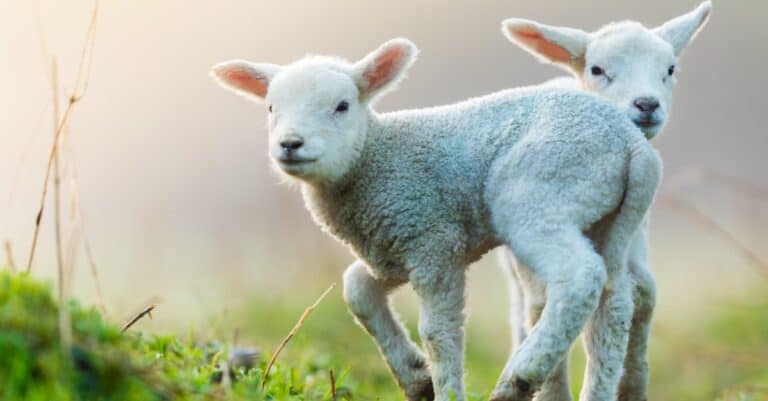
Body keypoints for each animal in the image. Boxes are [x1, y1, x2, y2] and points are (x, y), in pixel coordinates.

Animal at [210, 38, 661, 401]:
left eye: (341, 106)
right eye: (271, 107)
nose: (290, 144)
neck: (375, 158)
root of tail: (632, 145)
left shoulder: (432, 239)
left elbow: (438, 333)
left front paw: (443, 388)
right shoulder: (392, 245)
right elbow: (356, 289)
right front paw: (415, 378)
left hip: (542, 193)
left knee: (580, 276)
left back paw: (519, 378)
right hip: (607, 217)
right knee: (615, 301)